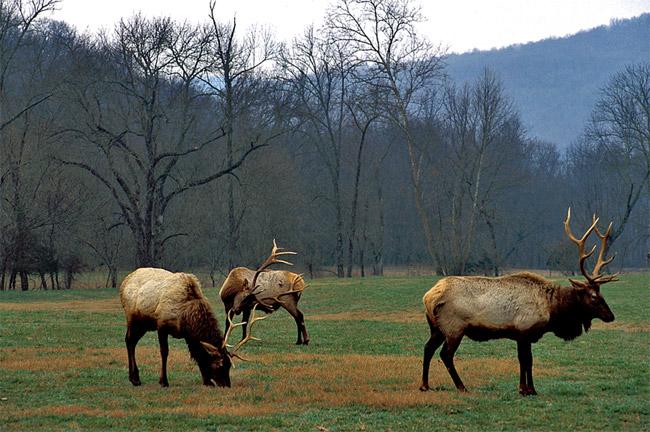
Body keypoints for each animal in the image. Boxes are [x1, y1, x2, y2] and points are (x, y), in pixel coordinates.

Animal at [119, 267, 265, 387]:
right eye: (220, 365)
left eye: (229, 365)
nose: (226, 385)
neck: (186, 316)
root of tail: (124, 282)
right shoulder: (162, 325)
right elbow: (164, 352)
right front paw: (163, 381)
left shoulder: (189, 334)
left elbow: (197, 353)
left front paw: (207, 381)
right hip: (132, 318)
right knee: (129, 340)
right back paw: (135, 379)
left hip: (144, 324)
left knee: (132, 341)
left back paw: (133, 377)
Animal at [419, 209, 618, 396]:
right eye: (594, 296)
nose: (611, 316)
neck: (553, 310)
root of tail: (428, 297)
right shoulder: (525, 330)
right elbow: (525, 360)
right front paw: (525, 389)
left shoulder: (523, 335)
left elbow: (527, 360)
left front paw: (530, 389)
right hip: (454, 327)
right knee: (446, 354)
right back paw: (461, 386)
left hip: (437, 328)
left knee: (428, 348)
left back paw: (424, 385)